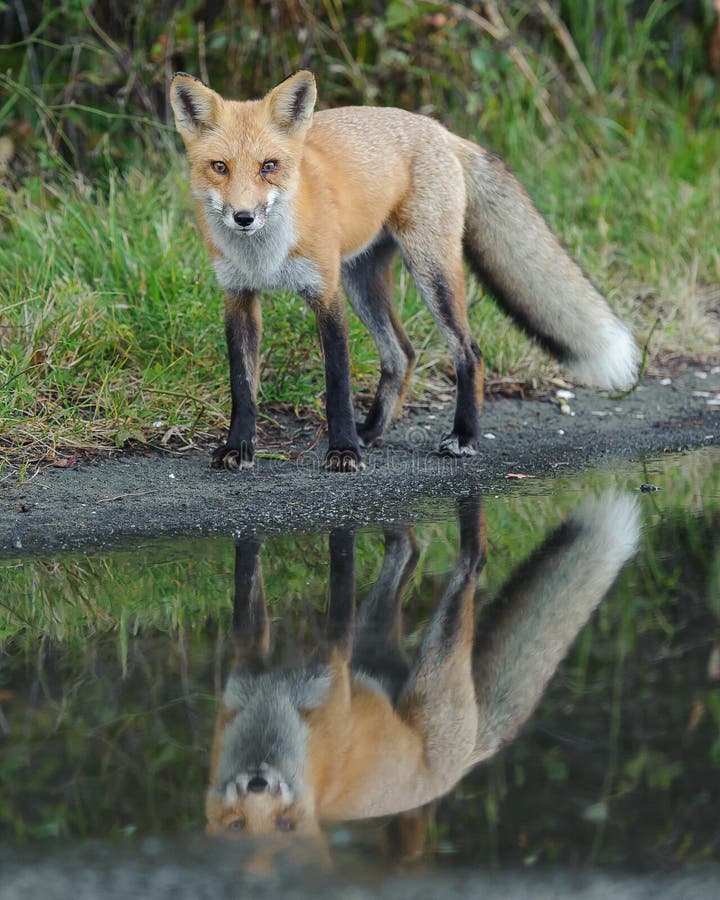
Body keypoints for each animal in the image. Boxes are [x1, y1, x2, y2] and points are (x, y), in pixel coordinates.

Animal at [170, 71, 639, 472]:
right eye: (219, 167)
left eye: (268, 166)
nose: (243, 217)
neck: (264, 256)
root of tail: (436, 128)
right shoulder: (239, 296)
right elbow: (242, 387)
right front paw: (237, 447)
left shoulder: (326, 293)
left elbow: (337, 383)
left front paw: (343, 451)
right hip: (363, 282)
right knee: (402, 354)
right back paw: (371, 431)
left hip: (429, 271)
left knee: (468, 350)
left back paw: (462, 436)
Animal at [206, 491, 640, 843]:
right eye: (237, 823)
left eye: (285, 822)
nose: (258, 784)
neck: (272, 715)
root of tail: (465, 765)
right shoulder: (248, 666)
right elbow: (246, 587)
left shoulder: (332, 664)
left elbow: (340, 577)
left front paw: (339, 536)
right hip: (374, 638)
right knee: (408, 552)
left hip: (436, 654)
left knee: (472, 561)